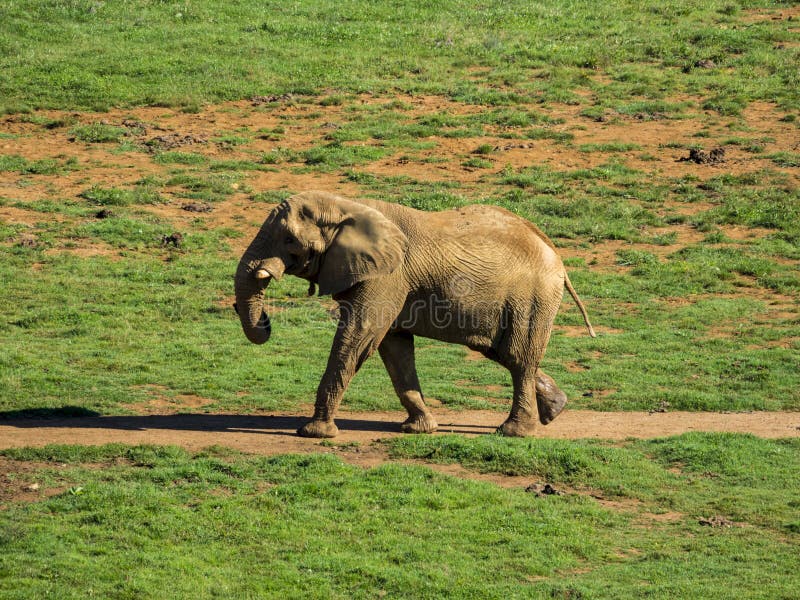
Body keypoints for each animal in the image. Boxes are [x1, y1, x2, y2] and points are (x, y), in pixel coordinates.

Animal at [234, 191, 595, 438]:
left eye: (289, 239)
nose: (265, 320)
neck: (345, 205)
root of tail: (557, 256)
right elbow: (394, 349)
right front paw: (418, 429)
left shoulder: (387, 277)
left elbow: (358, 337)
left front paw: (315, 432)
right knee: (502, 352)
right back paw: (555, 409)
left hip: (532, 299)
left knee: (519, 358)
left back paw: (512, 432)